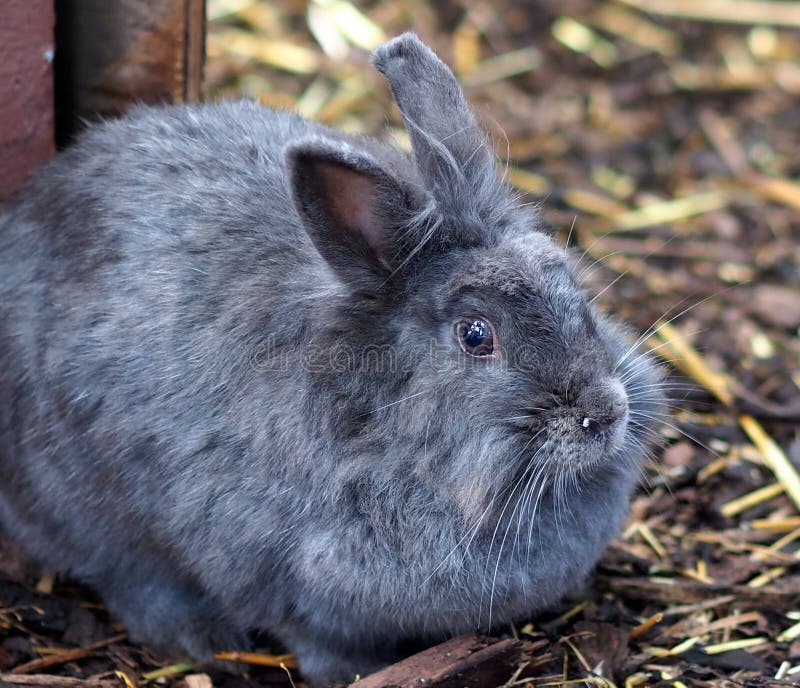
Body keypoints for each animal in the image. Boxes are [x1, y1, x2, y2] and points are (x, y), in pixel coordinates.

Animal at [0, 33, 665, 685]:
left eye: (568, 282)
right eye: (476, 335)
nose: (606, 413)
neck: (389, 434)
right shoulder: (279, 577)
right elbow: (315, 639)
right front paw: (356, 672)